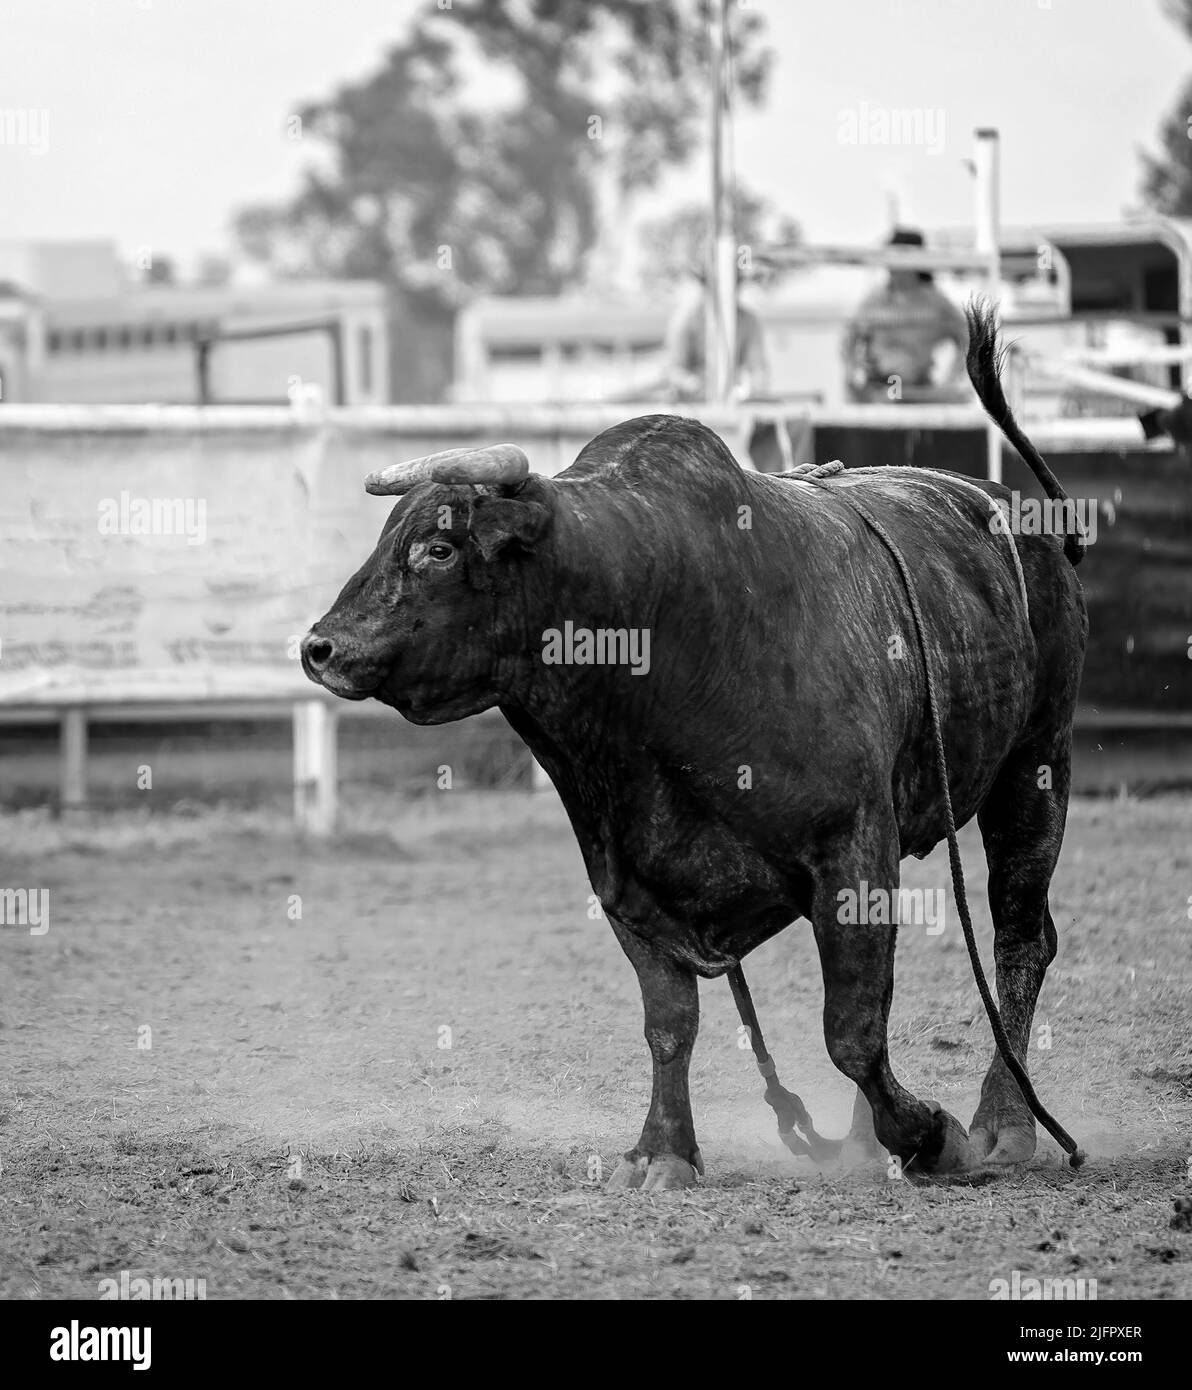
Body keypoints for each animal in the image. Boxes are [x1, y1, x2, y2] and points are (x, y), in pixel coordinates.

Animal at [301, 303, 1087, 1190]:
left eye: (436, 549)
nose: (321, 648)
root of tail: (1031, 522)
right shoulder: (628, 882)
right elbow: (672, 1021)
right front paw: (665, 1149)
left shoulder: (851, 848)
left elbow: (851, 1028)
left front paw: (930, 1134)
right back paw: (868, 1140)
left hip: (1036, 765)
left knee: (1021, 940)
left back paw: (1002, 1124)